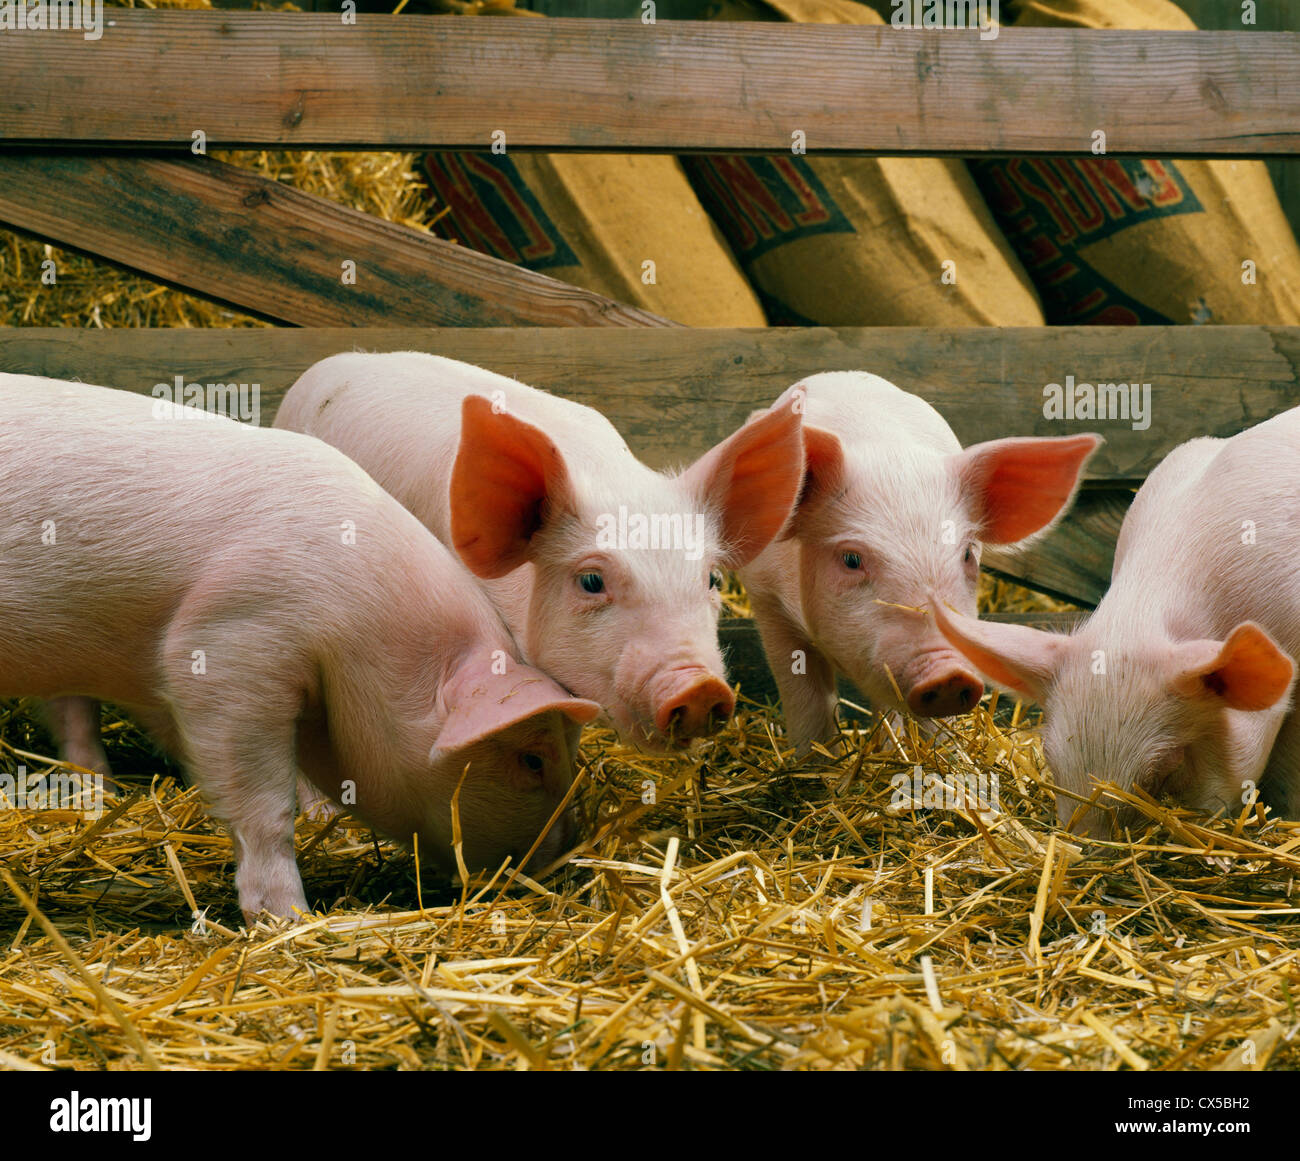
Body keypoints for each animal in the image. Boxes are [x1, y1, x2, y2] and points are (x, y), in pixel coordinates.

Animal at [0, 374, 599, 921]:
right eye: (532, 759)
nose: (565, 855)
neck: (360, 626)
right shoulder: (230, 642)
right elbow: (264, 805)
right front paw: (288, 919)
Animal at [739, 372, 1100, 749]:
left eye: (967, 553)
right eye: (851, 559)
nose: (948, 675)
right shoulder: (767, 601)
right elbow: (806, 706)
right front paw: (809, 759)